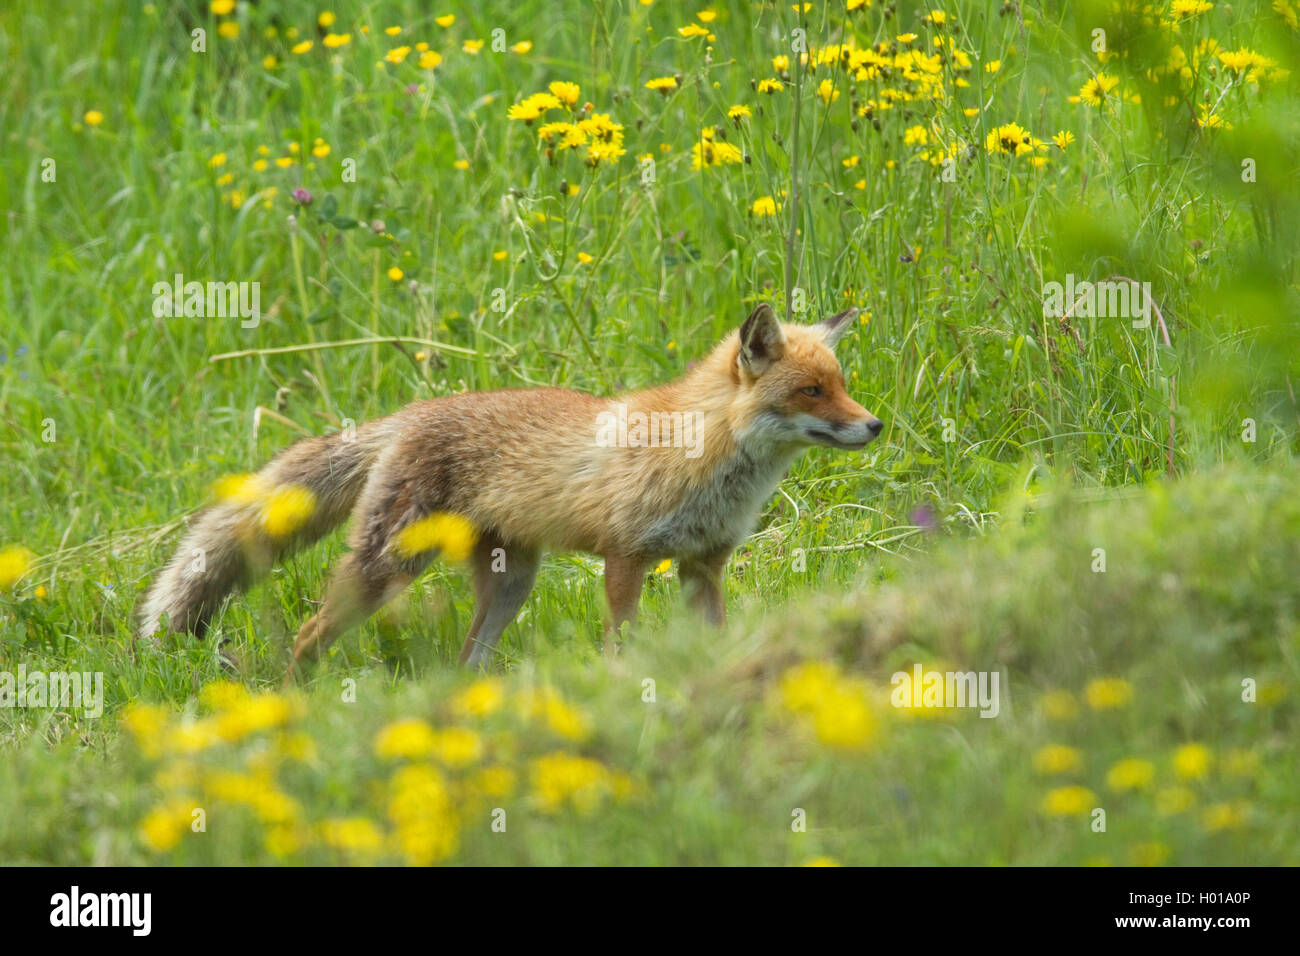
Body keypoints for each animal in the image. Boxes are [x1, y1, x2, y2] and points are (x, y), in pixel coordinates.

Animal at [137, 302, 883, 678]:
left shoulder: (703, 564)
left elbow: (714, 640)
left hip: (509, 583)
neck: (702, 456)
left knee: (467, 658)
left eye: (841, 383)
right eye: (811, 391)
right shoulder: (626, 557)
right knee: (309, 633)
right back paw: (296, 705)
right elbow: (620, 642)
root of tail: (410, 414)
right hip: (389, 567)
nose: (874, 425)